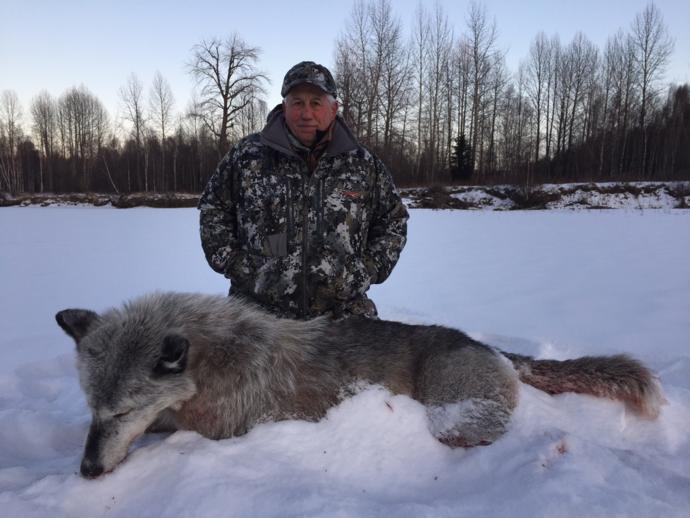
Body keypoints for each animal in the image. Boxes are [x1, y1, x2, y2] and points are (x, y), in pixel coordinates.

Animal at [55, 292, 664, 478]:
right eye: (94, 408)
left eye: (121, 409)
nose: (85, 472)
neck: (216, 359)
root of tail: (487, 348)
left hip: (451, 417)